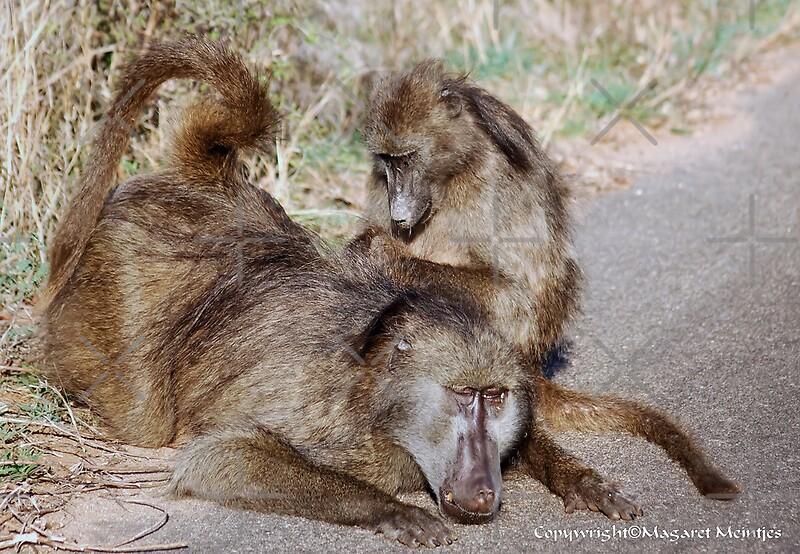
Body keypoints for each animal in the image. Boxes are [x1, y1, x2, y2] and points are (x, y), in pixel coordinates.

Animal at [39, 37, 647, 547]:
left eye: (494, 399)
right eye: (459, 397)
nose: (481, 488)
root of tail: (205, 185)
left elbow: (519, 290)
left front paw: (582, 479)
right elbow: (222, 456)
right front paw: (396, 512)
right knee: (146, 410)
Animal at [353, 60, 741, 505]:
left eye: (408, 158)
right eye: (387, 161)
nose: (398, 213)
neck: (456, 168)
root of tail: (535, 370)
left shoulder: (495, 188)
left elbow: (516, 298)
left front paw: (378, 251)